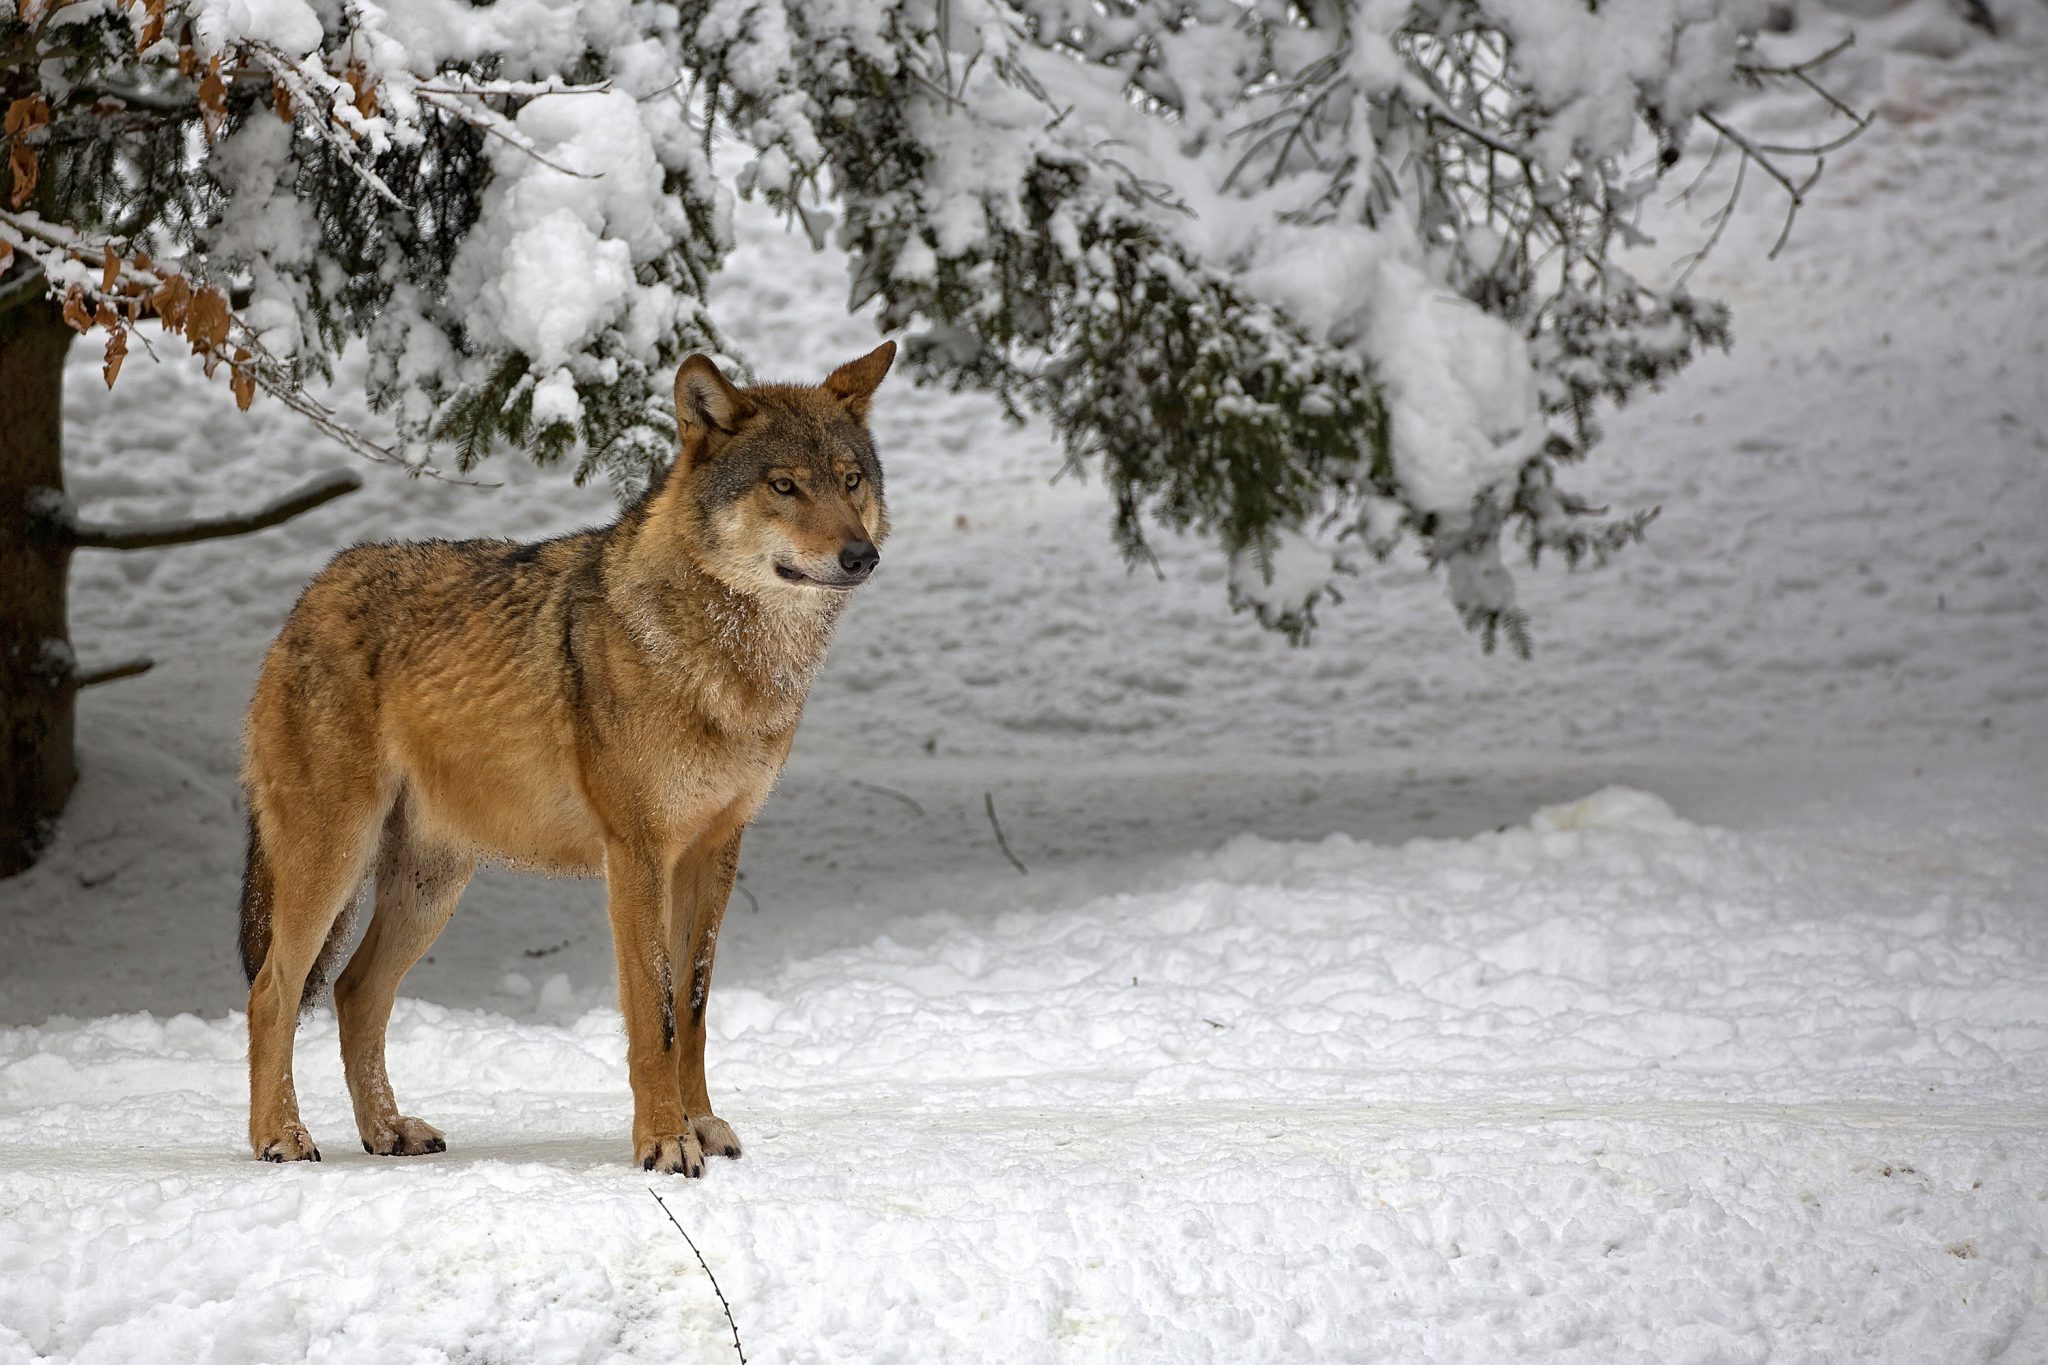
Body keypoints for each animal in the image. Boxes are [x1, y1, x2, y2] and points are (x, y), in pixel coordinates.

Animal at [237, 343, 895, 1174]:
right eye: (784, 485)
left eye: (850, 480)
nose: (861, 555)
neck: (725, 660)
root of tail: (307, 595)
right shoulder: (638, 853)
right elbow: (655, 1011)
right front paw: (665, 1140)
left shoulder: (715, 850)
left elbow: (695, 1007)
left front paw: (701, 1123)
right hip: (334, 859)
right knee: (273, 989)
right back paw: (280, 1135)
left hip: (430, 886)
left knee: (355, 991)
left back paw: (386, 1129)